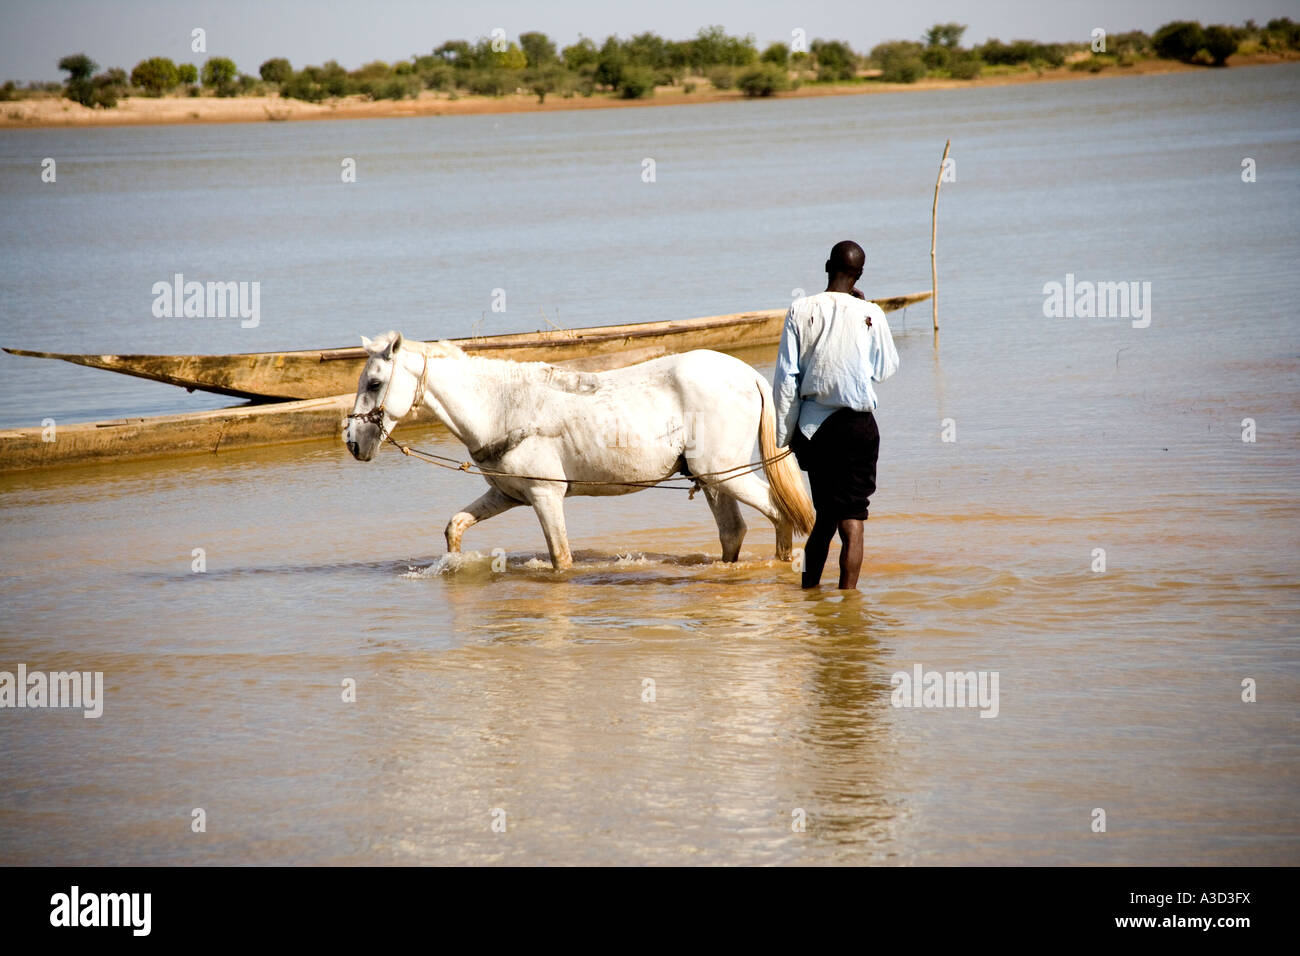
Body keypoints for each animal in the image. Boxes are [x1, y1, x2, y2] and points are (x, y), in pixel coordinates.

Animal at [343, 331, 814, 570]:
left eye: (375, 383)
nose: (353, 443)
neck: (502, 405)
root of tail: (747, 375)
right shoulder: (507, 494)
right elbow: (454, 527)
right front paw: (453, 564)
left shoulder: (545, 495)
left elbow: (561, 558)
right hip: (713, 479)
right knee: (733, 531)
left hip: (724, 473)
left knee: (779, 511)